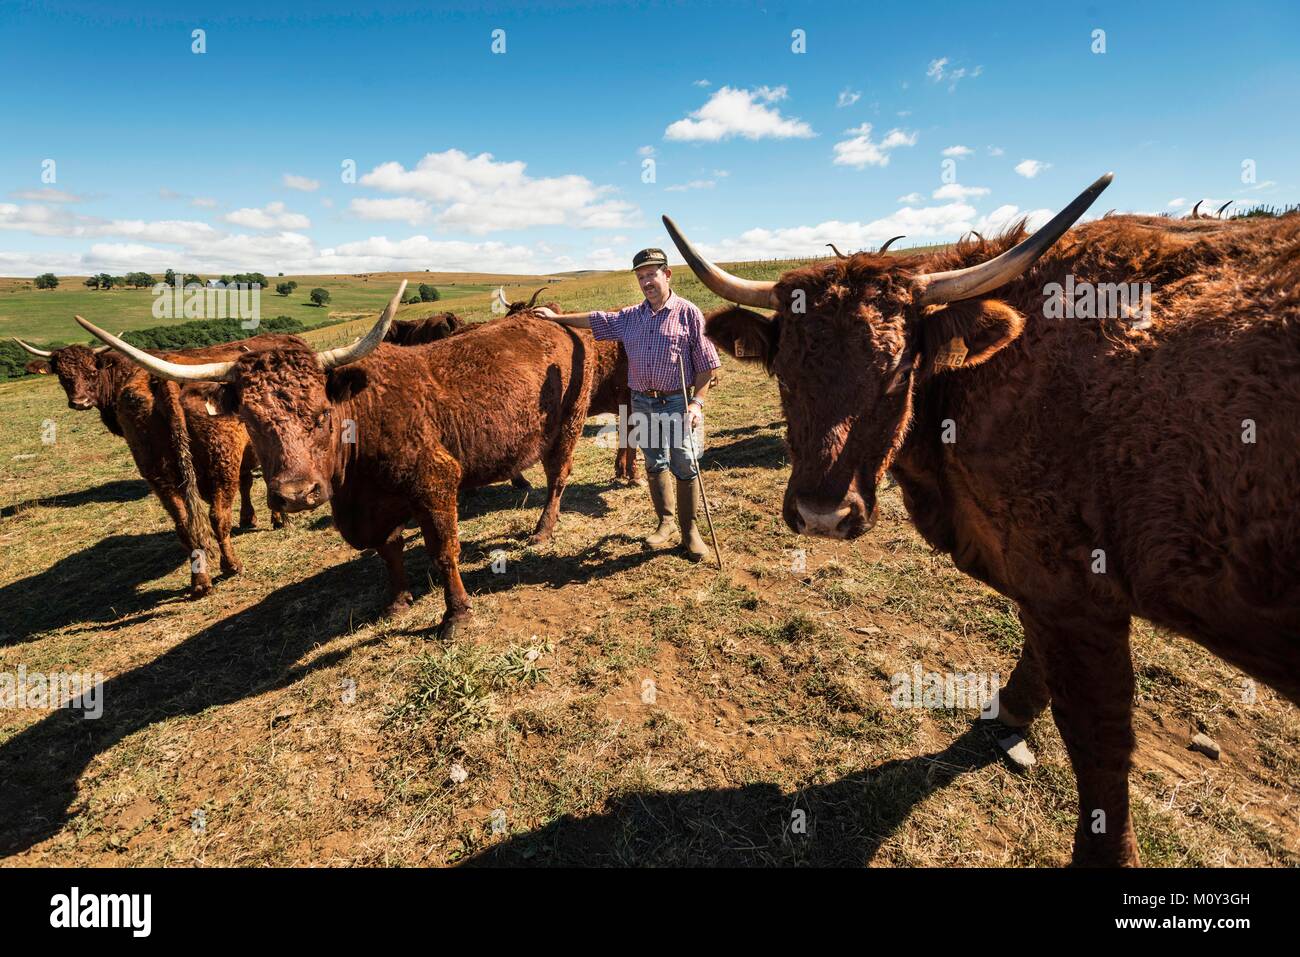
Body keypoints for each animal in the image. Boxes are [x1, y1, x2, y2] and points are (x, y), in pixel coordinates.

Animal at [15, 335, 293, 597]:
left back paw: (200, 582)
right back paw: (231, 566)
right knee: (217, 517)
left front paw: (254, 517)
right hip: (221, 462)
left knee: (185, 525)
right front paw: (275, 519)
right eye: (62, 376)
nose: (79, 402)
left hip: (159, 473)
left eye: (92, 372)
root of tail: (161, 381)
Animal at [80, 282, 604, 640]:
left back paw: (543, 528)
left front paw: (456, 615)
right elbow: (388, 550)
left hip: (568, 425)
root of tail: (545, 319)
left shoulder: (436, 484)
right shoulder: (368, 508)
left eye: (320, 414)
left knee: (558, 478)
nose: (296, 495)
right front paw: (397, 602)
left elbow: (443, 551)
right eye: (250, 420)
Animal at [661, 173, 1300, 866]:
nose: (821, 514)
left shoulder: (1072, 591)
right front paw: (1009, 712)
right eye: (783, 370)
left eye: (897, 370)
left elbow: (1097, 737)